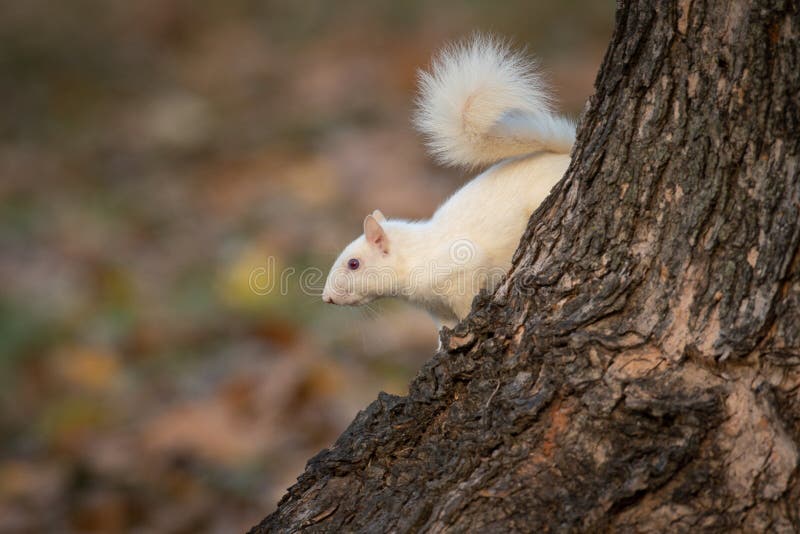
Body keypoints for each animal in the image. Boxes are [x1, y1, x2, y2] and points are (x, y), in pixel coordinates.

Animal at [322, 35, 575, 335]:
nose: (326, 297)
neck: (412, 258)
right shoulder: (435, 308)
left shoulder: (459, 268)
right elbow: (445, 327)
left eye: (354, 264)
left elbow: (466, 300)